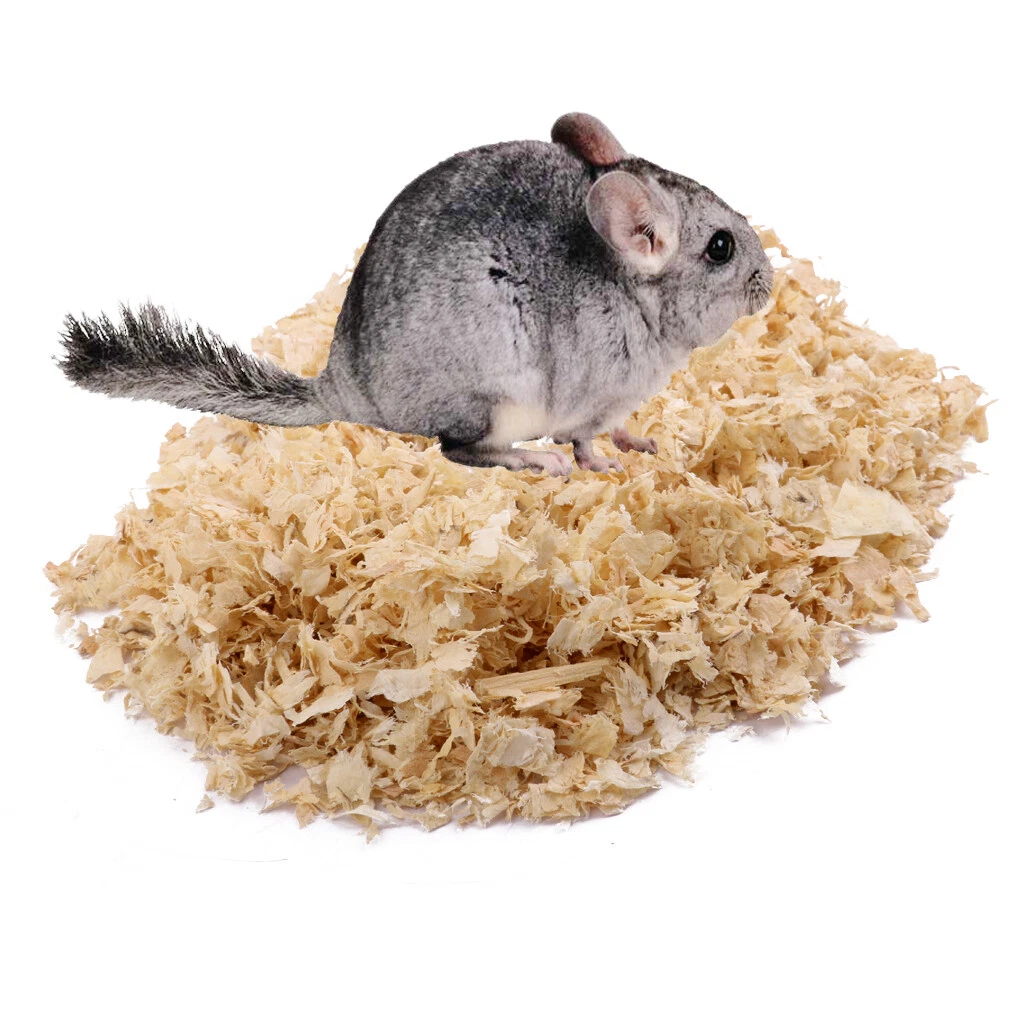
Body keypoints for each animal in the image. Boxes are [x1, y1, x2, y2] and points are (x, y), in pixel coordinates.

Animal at [57, 113, 774, 475]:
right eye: (721, 248)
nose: (769, 285)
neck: (631, 295)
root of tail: (345, 387)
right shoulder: (588, 403)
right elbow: (587, 441)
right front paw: (605, 466)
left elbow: (622, 429)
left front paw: (643, 444)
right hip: (493, 398)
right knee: (458, 449)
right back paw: (533, 463)